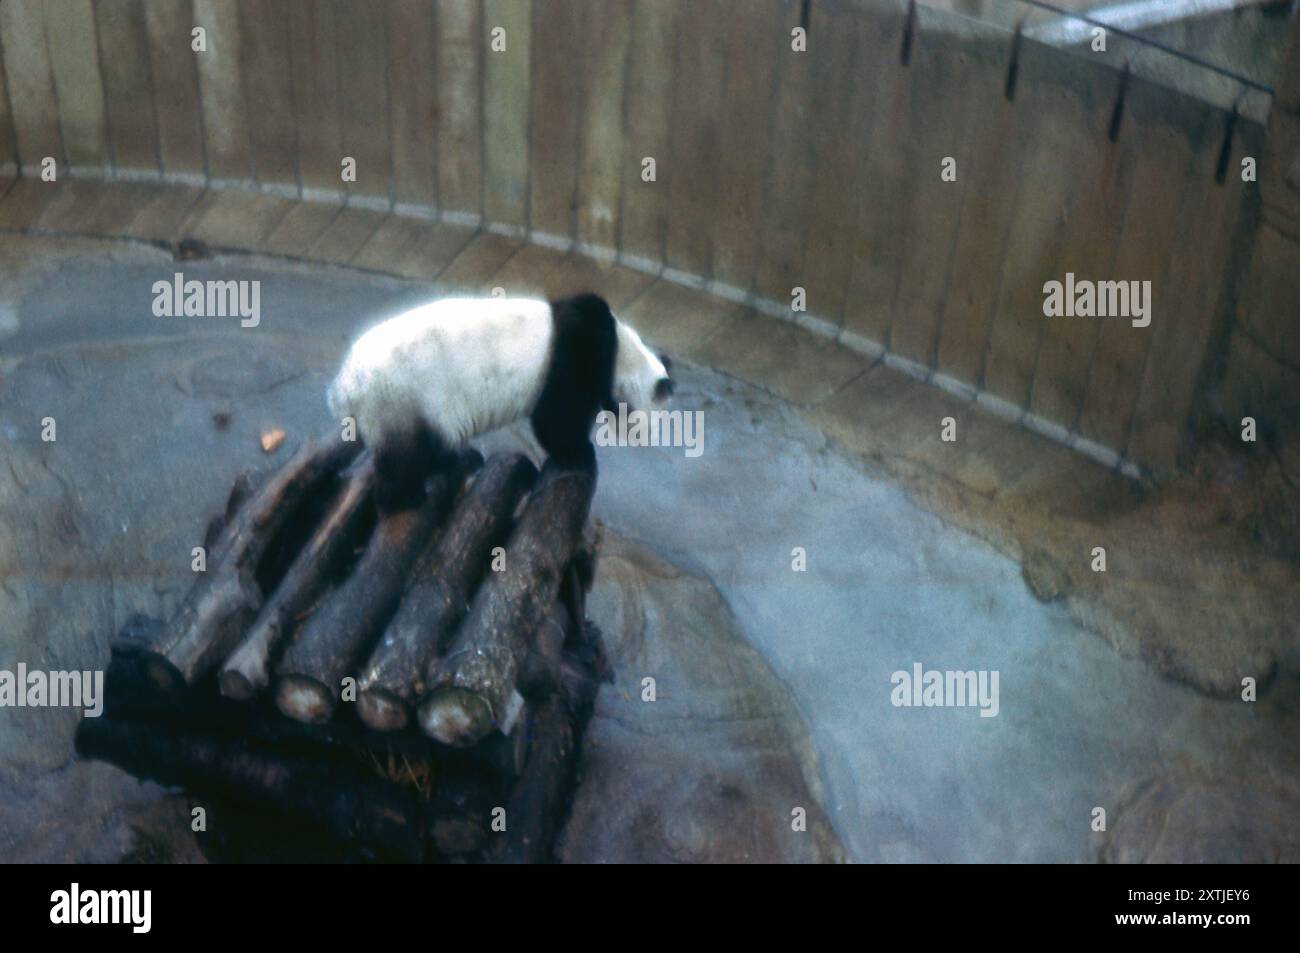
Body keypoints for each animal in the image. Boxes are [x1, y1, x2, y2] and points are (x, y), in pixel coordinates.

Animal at [327, 292, 674, 511]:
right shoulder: (580, 347)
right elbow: (555, 417)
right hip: (398, 397)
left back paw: (451, 460)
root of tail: (344, 386)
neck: (623, 352)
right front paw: (580, 451)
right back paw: (405, 497)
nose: (649, 438)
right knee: (404, 454)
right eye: (656, 421)